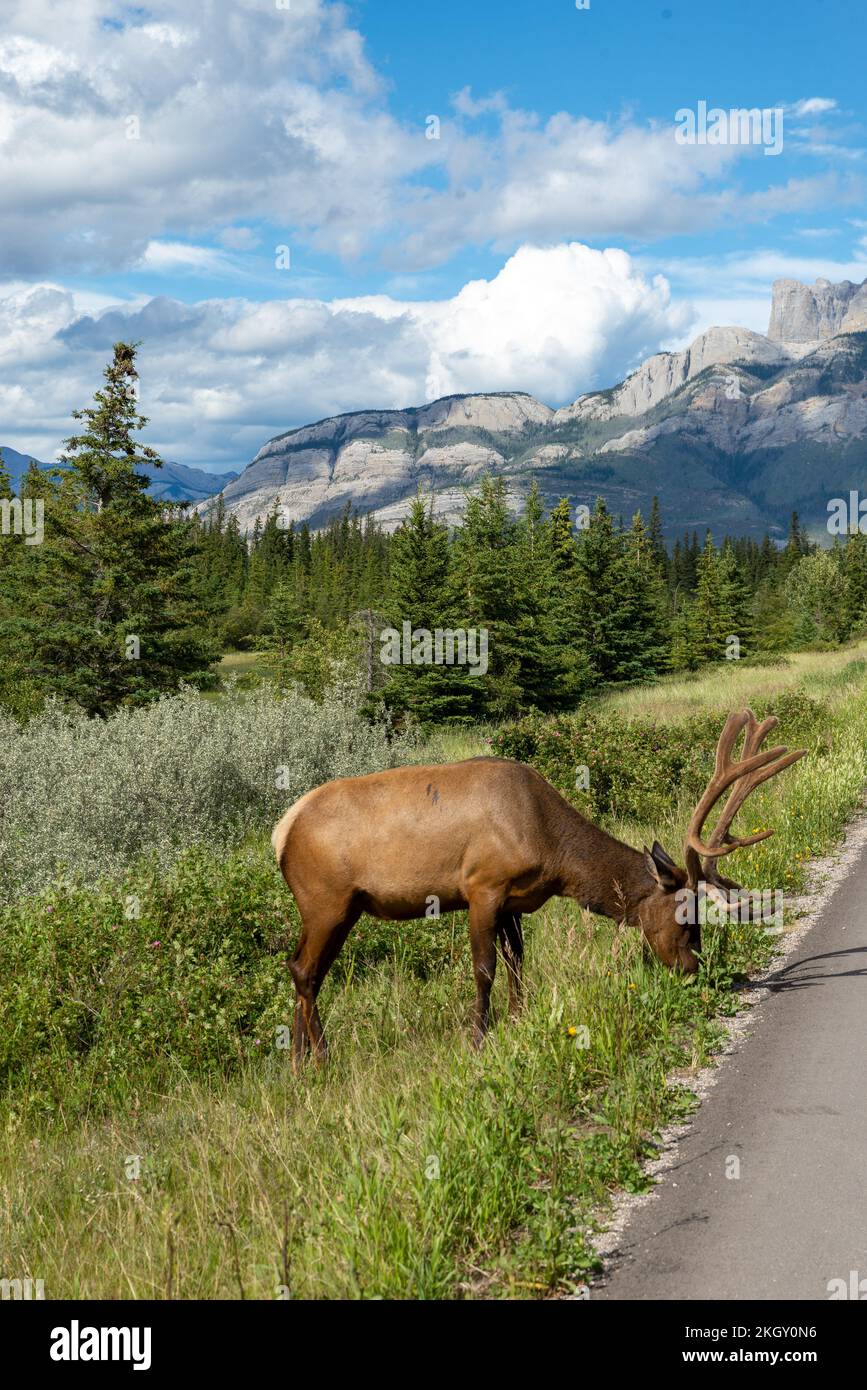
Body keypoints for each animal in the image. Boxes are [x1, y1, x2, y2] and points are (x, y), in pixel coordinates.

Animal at [272, 708, 806, 1066]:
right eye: (685, 916)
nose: (693, 968)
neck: (552, 849)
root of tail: (281, 831)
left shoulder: (513, 900)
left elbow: (518, 963)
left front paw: (517, 1020)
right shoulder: (482, 886)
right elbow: (484, 969)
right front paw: (478, 1041)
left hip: (338, 908)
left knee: (303, 969)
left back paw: (298, 1061)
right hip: (326, 900)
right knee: (304, 970)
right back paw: (320, 1057)